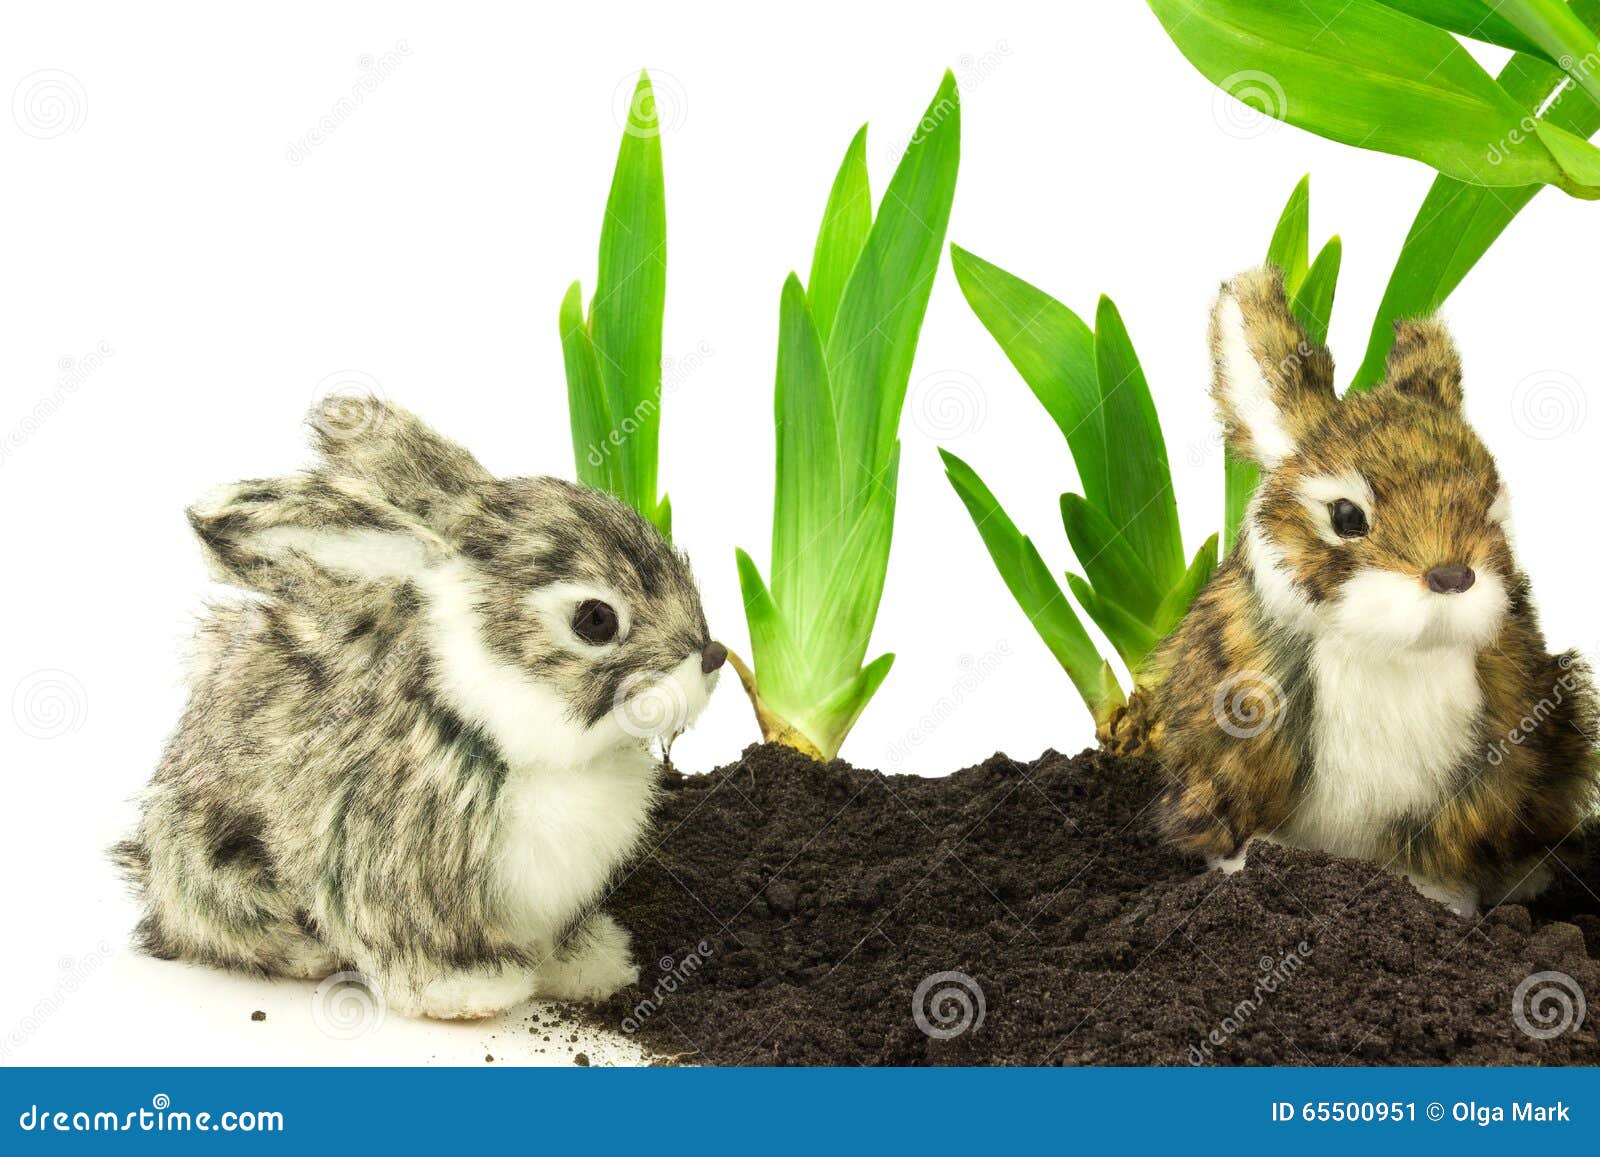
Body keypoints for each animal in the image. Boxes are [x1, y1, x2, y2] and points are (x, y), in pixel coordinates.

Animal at [112, 394, 726, 1019]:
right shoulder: (383, 873)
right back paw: (308, 956)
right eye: (596, 620)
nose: (713, 655)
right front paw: (469, 993)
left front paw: (597, 968)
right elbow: (413, 948)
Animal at [1142, 267, 1598, 917]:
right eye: (1347, 516)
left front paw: (1441, 905)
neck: (1384, 647)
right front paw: (1240, 873)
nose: (1452, 576)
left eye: (1491, 509)